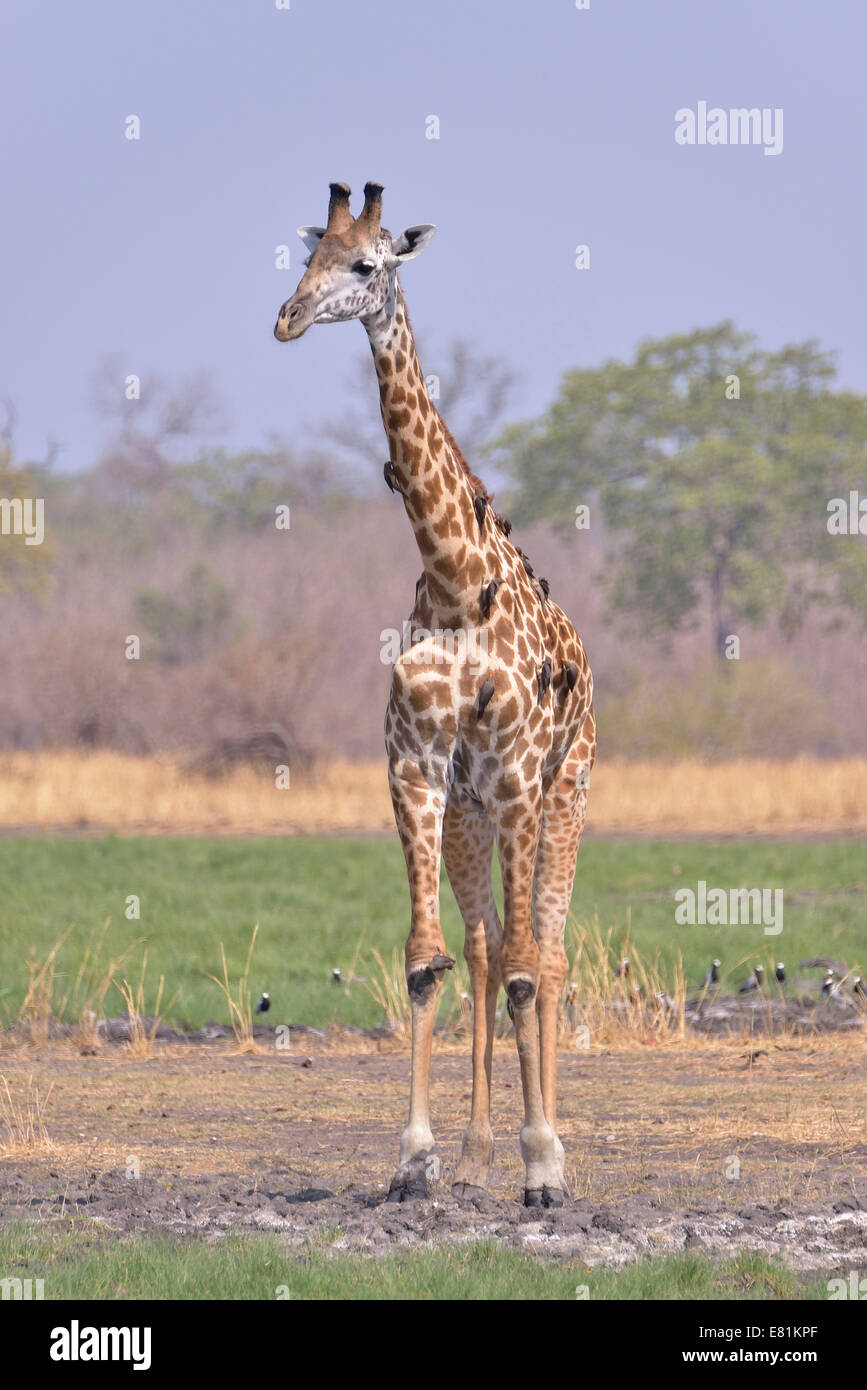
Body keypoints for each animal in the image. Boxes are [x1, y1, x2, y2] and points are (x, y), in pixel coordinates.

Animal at [275, 182, 596, 1206]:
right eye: (306, 256)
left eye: (368, 264)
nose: (287, 319)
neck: (454, 580)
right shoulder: (415, 768)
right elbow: (428, 961)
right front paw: (417, 1159)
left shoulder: (521, 775)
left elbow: (532, 969)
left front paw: (544, 1166)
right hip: (471, 811)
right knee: (489, 946)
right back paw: (478, 1145)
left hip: (562, 791)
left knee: (549, 953)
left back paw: (549, 1147)